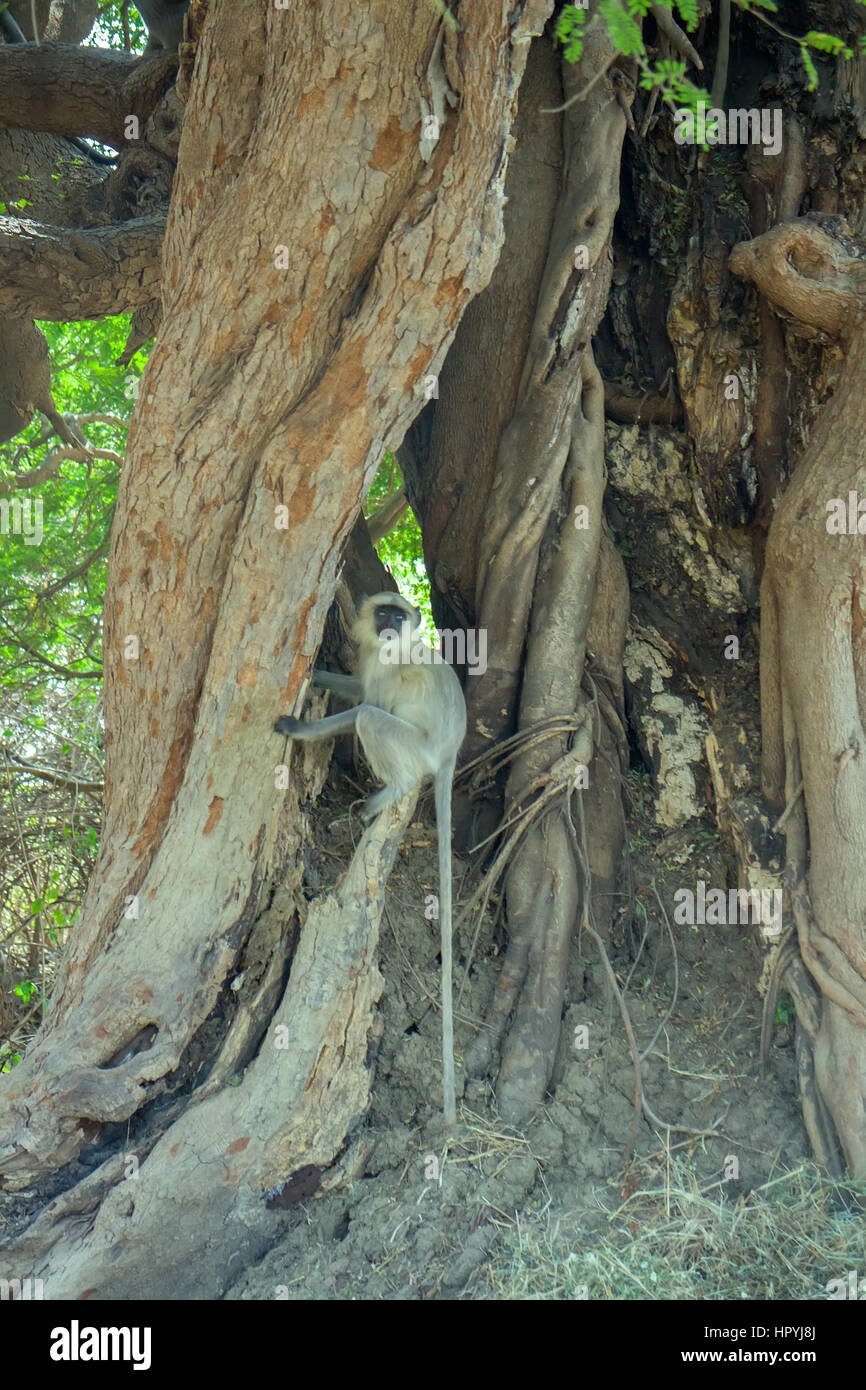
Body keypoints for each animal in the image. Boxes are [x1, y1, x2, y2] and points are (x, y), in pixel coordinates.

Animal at [274, 592, 466, 1126]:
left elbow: (366, 704)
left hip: (415, 749)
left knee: (372, 721)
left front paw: (300, 730)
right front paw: (318, 673)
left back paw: (389, 795)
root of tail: (449, 753)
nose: (390, 625)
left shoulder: (388, 667)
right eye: (385, 612)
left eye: (400, 617)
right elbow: (356, 687)